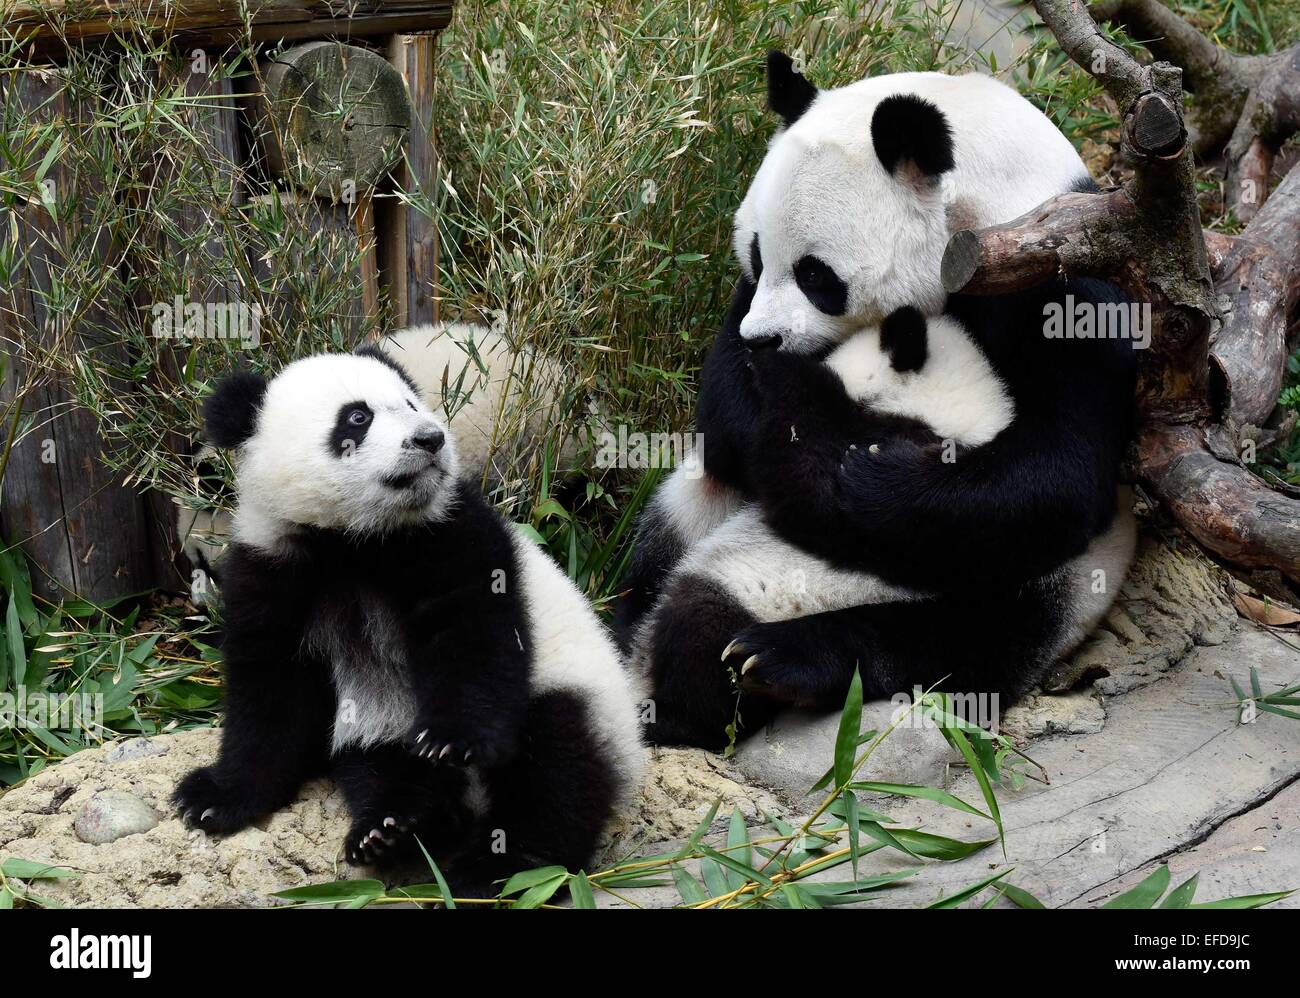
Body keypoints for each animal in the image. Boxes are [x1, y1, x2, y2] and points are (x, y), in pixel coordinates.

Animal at [172, 347, 644, 891]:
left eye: (412, 402)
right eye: (357, 417)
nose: (430, 439)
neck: (353, 539)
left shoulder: (450, 534)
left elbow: (473, 638)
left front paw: (450, 738)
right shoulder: (274, 563)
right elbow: (270, 693)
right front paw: (213, 798)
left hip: (584, 696)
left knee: (557, 769)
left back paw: (501, 866)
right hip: (382, 730)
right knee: (383, 769)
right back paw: (395, 828)